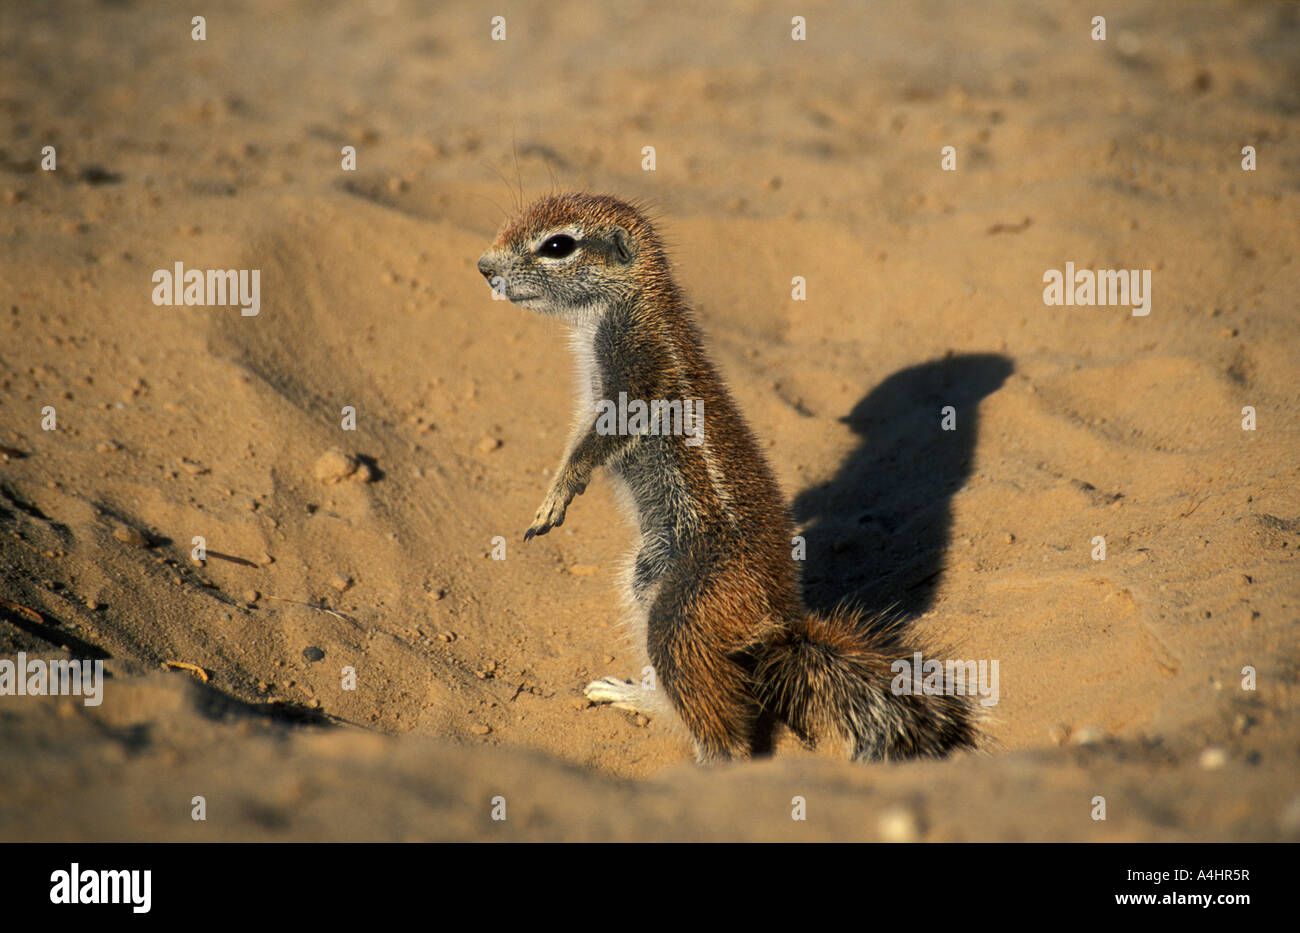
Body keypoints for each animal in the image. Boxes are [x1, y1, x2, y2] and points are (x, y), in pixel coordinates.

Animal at [477, 193, 979, 764]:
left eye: (557, 245)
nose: (484, 268)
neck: (628, 307)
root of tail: (779, 620)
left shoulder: (637, 380)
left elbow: (593, 448)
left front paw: (556, 497)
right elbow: (576, 440)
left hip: (688, 606)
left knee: (712, 706)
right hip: (650, 570)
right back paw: (637, 696)